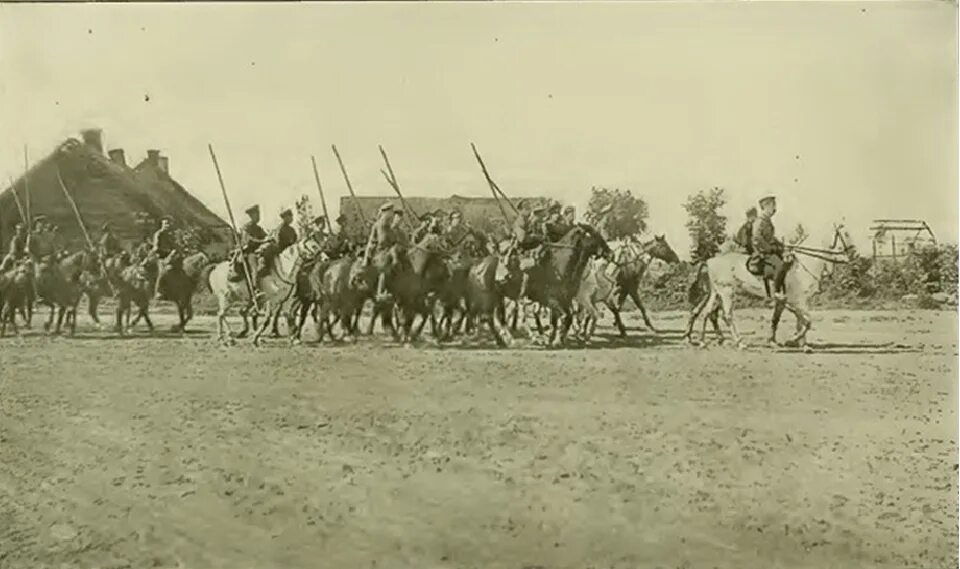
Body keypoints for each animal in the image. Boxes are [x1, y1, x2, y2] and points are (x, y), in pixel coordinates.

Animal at [688, 223, 860, 348]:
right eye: (845, 234)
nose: (855, 256)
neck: (804, 264)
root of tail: (710, 260)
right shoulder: (798, 301)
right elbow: (807, 321)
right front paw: (793, 340)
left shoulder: (792, 302)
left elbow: (792, 321)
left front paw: (800, 344)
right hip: (727, 292)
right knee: (726, 315)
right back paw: (739, 342)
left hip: (716, 293)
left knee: (706, 313)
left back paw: (702, 341)